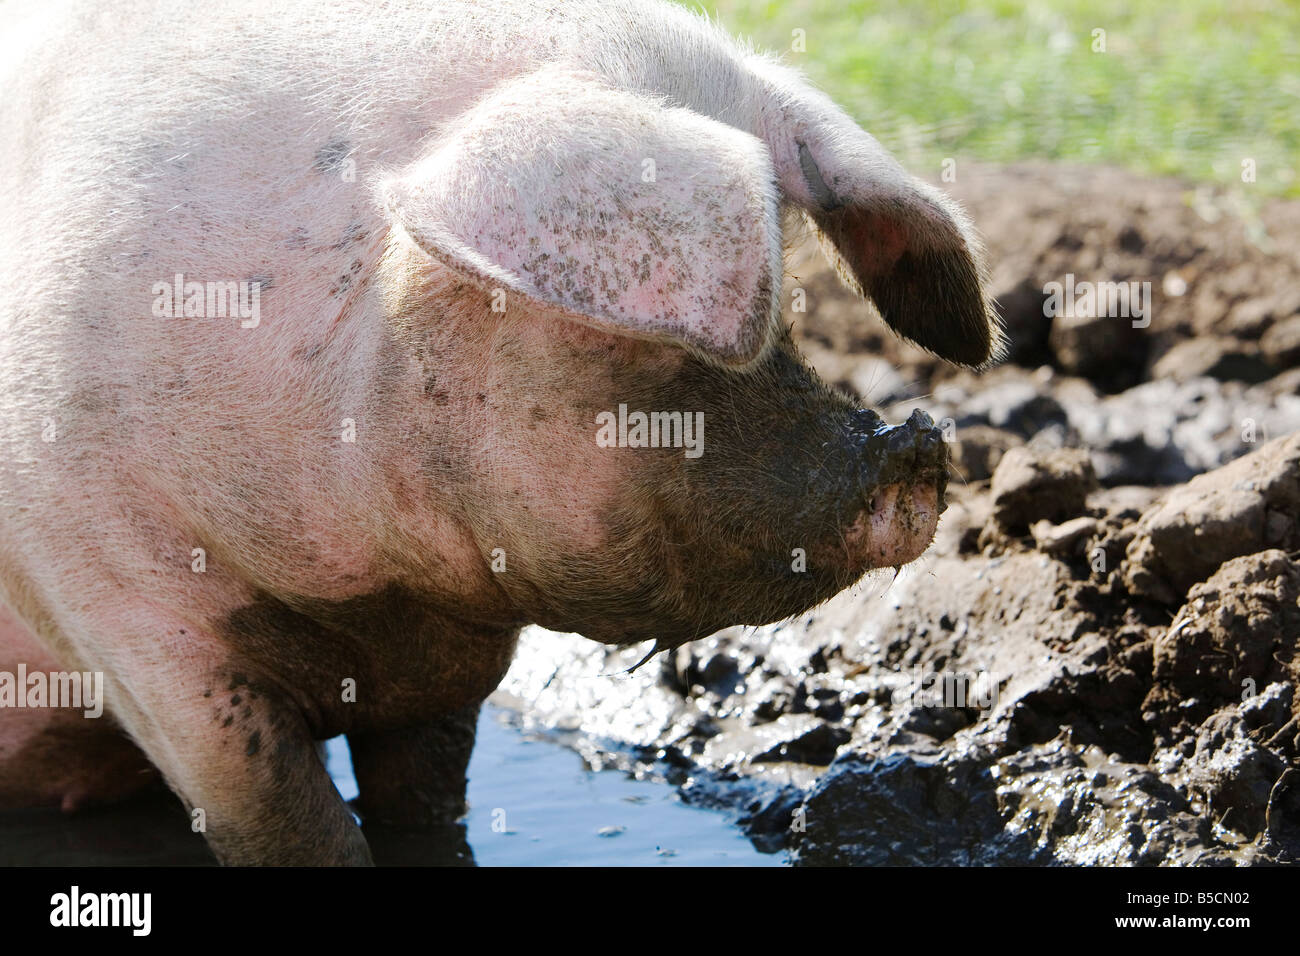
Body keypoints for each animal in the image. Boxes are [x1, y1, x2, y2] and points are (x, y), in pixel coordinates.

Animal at [0, 0, 1001, 864]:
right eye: (639, 342)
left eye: (792, 310)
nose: (915, 448)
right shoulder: (111, 601)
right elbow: (284, 822)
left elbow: (426, 796)